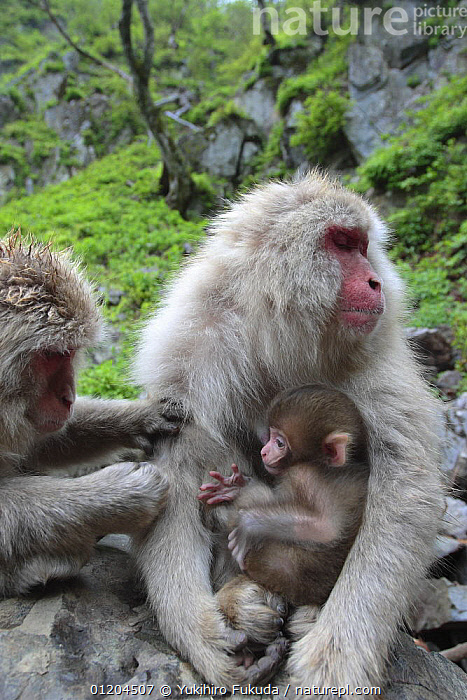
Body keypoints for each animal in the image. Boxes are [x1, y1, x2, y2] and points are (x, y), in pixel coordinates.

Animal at [0, 233, 181, 597]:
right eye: (51, 354)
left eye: (69, 353)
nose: (68, 397)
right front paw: (118, 496)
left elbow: (43, 442)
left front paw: (141, 415)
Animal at [198, 385, 369, 608]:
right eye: (270, 436)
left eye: (279, 443)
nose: (263, 451)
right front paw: (237, 486)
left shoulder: (304, 475)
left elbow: (325, 528)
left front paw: (249, 524)